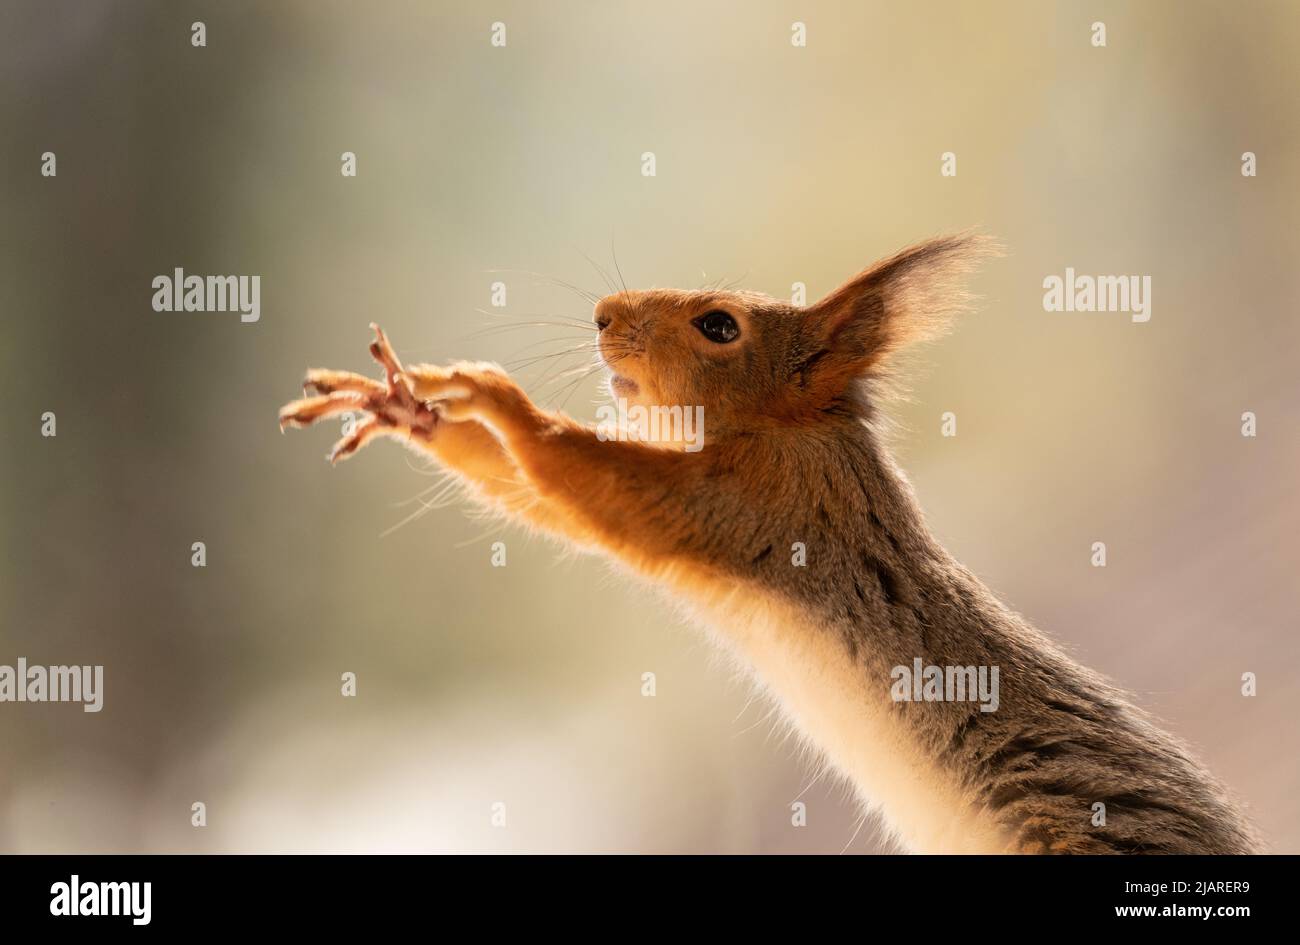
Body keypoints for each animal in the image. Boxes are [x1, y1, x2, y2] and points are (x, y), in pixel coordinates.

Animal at [279, 233, 1261, 854]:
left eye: (720, 325)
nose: (602, 313)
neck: (793, 428)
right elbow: (547, 497)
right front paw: (411, 407)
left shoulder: (760, 503)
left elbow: (601, 485)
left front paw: (492, 395)